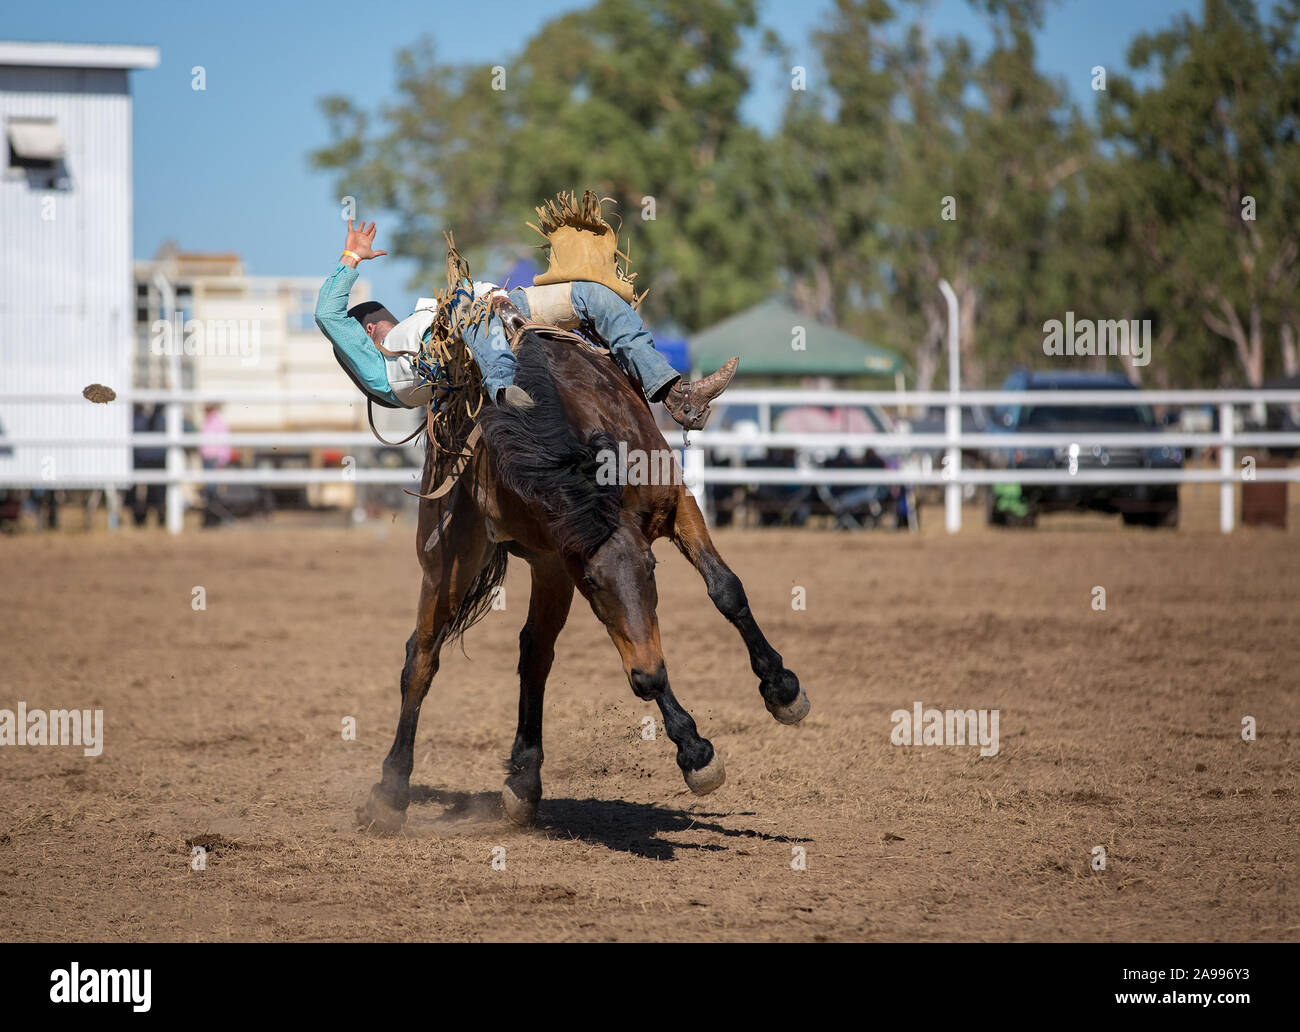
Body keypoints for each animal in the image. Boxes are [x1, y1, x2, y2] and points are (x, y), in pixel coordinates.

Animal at [359, 324, 810, 832]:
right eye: (593, 583)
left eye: (651, 569)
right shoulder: (569, 564)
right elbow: (647, 672)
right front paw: (696, 753)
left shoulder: (675, 502)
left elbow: (726, 590)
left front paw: (782, 688)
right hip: (450, 558)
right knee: (422, 658)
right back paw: (392, 790)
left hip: (545, 568)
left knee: (534, 653)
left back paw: (523, 783)